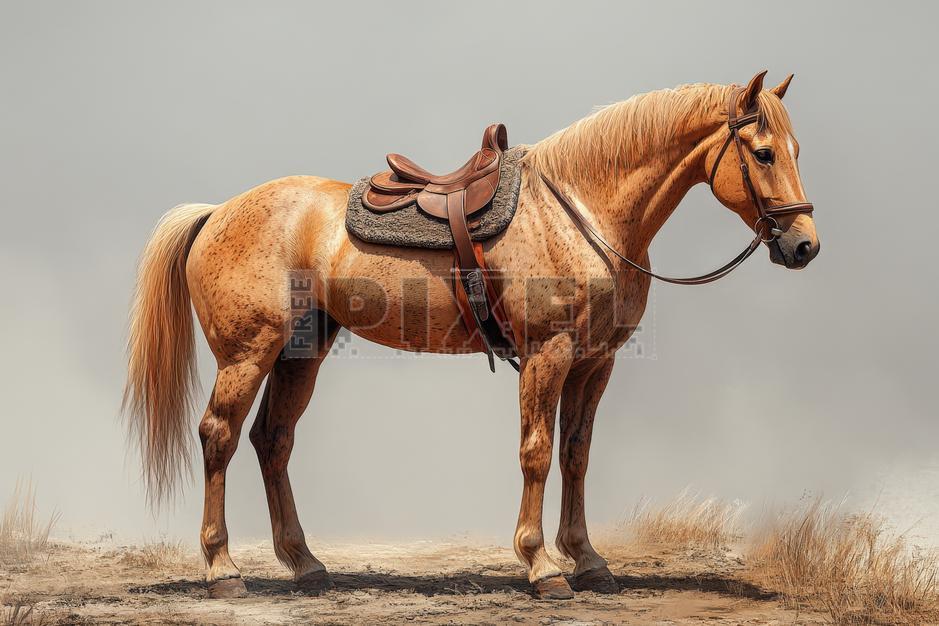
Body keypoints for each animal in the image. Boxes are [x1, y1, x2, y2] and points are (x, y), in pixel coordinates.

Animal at [123, 71, 819, 600]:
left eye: (795, 151)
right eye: (763, 153)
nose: (804, 245)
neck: (581, 210)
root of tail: (218, 212)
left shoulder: (595, 363)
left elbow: (577, 454)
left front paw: (588, 560)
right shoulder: (547, 354)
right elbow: (537, 452)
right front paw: (542, 568)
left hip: (301, 353)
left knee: (273, 441)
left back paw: (306, 565)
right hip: (247, 354)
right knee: (219, 436)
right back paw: (222, 570)